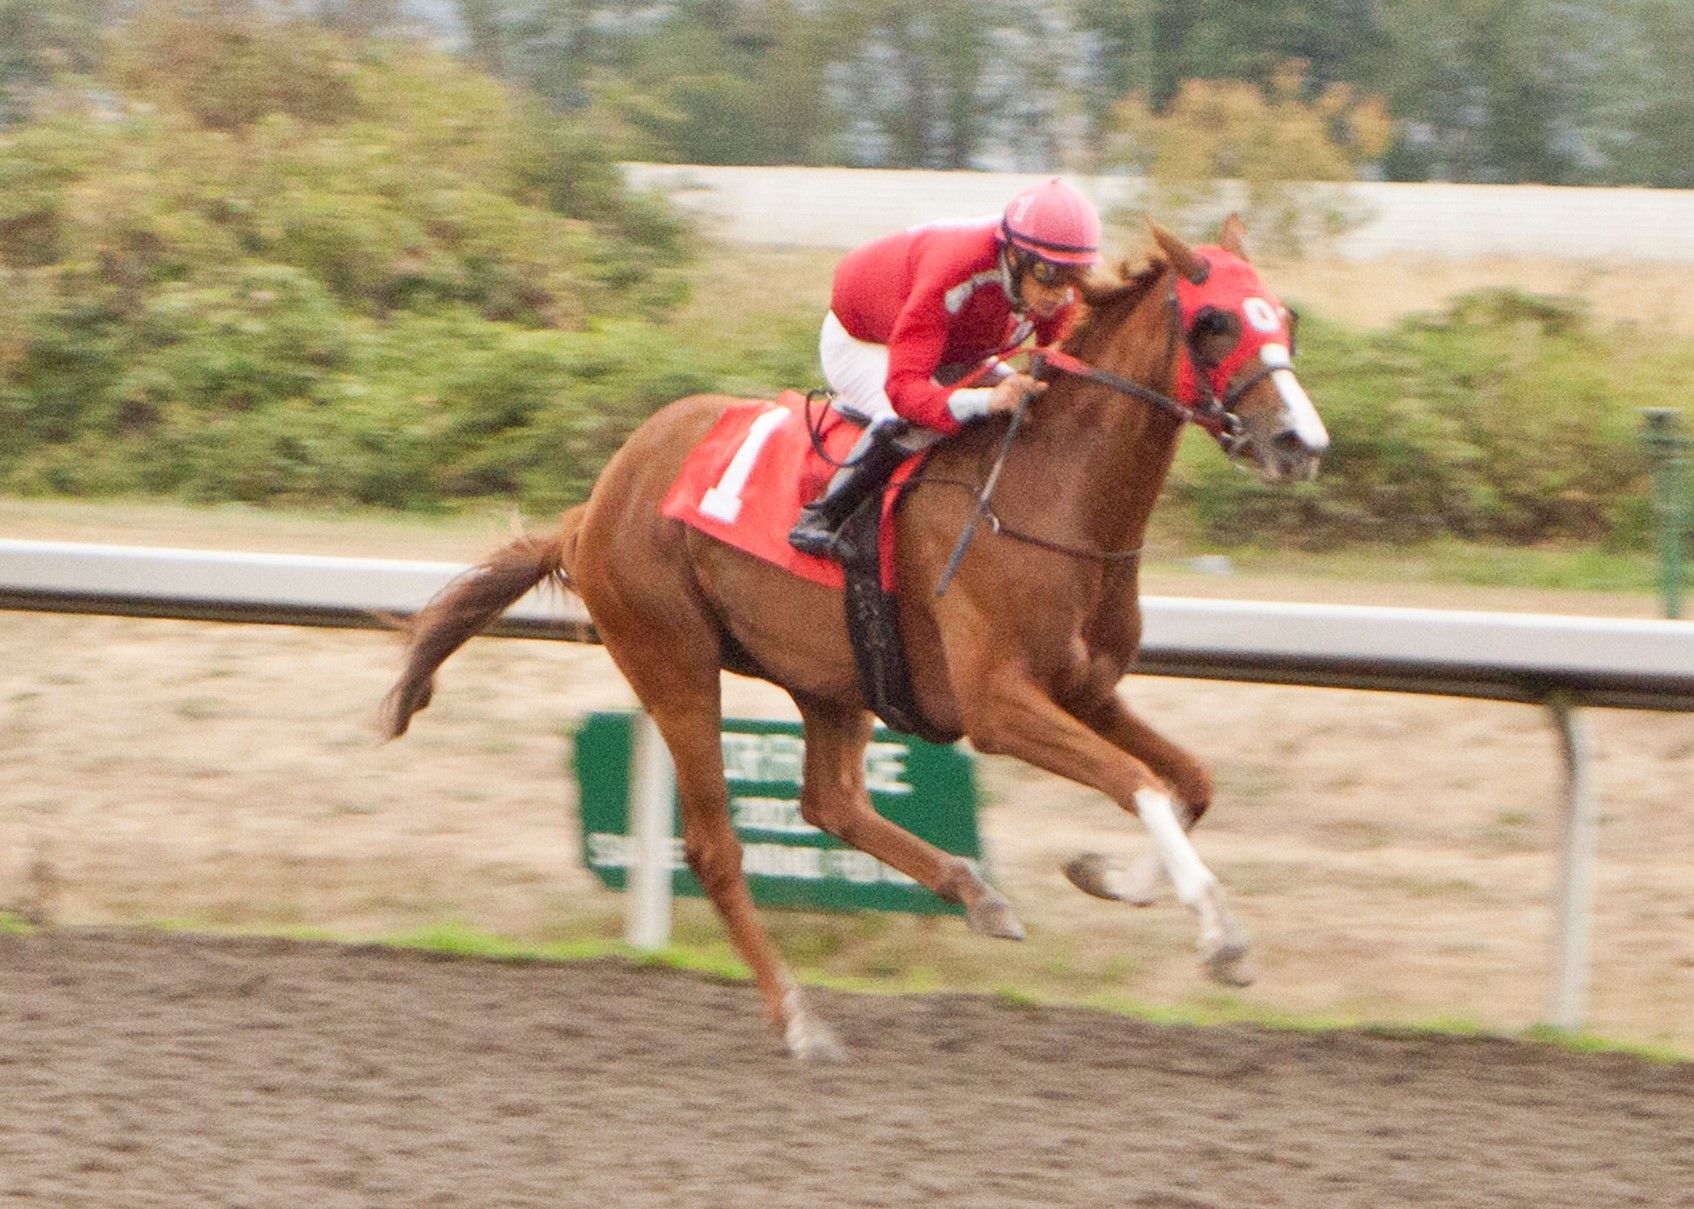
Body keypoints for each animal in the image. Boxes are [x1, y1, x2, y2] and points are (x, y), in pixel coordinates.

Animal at [380, 217, 1329, 1059]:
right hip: (673, 661)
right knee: (716, 847)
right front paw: (1224, 937)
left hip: (832, 676)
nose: (1301, 442)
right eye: (1213, 323)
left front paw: (1107, 875)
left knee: (829, 801)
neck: (1047, 491)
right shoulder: (999, 704)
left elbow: (1186, 782)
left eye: (1282, 317)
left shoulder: (1085, 688)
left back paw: (973, 891)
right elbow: (1140, 782)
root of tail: (595, 502)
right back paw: (801, 1020)